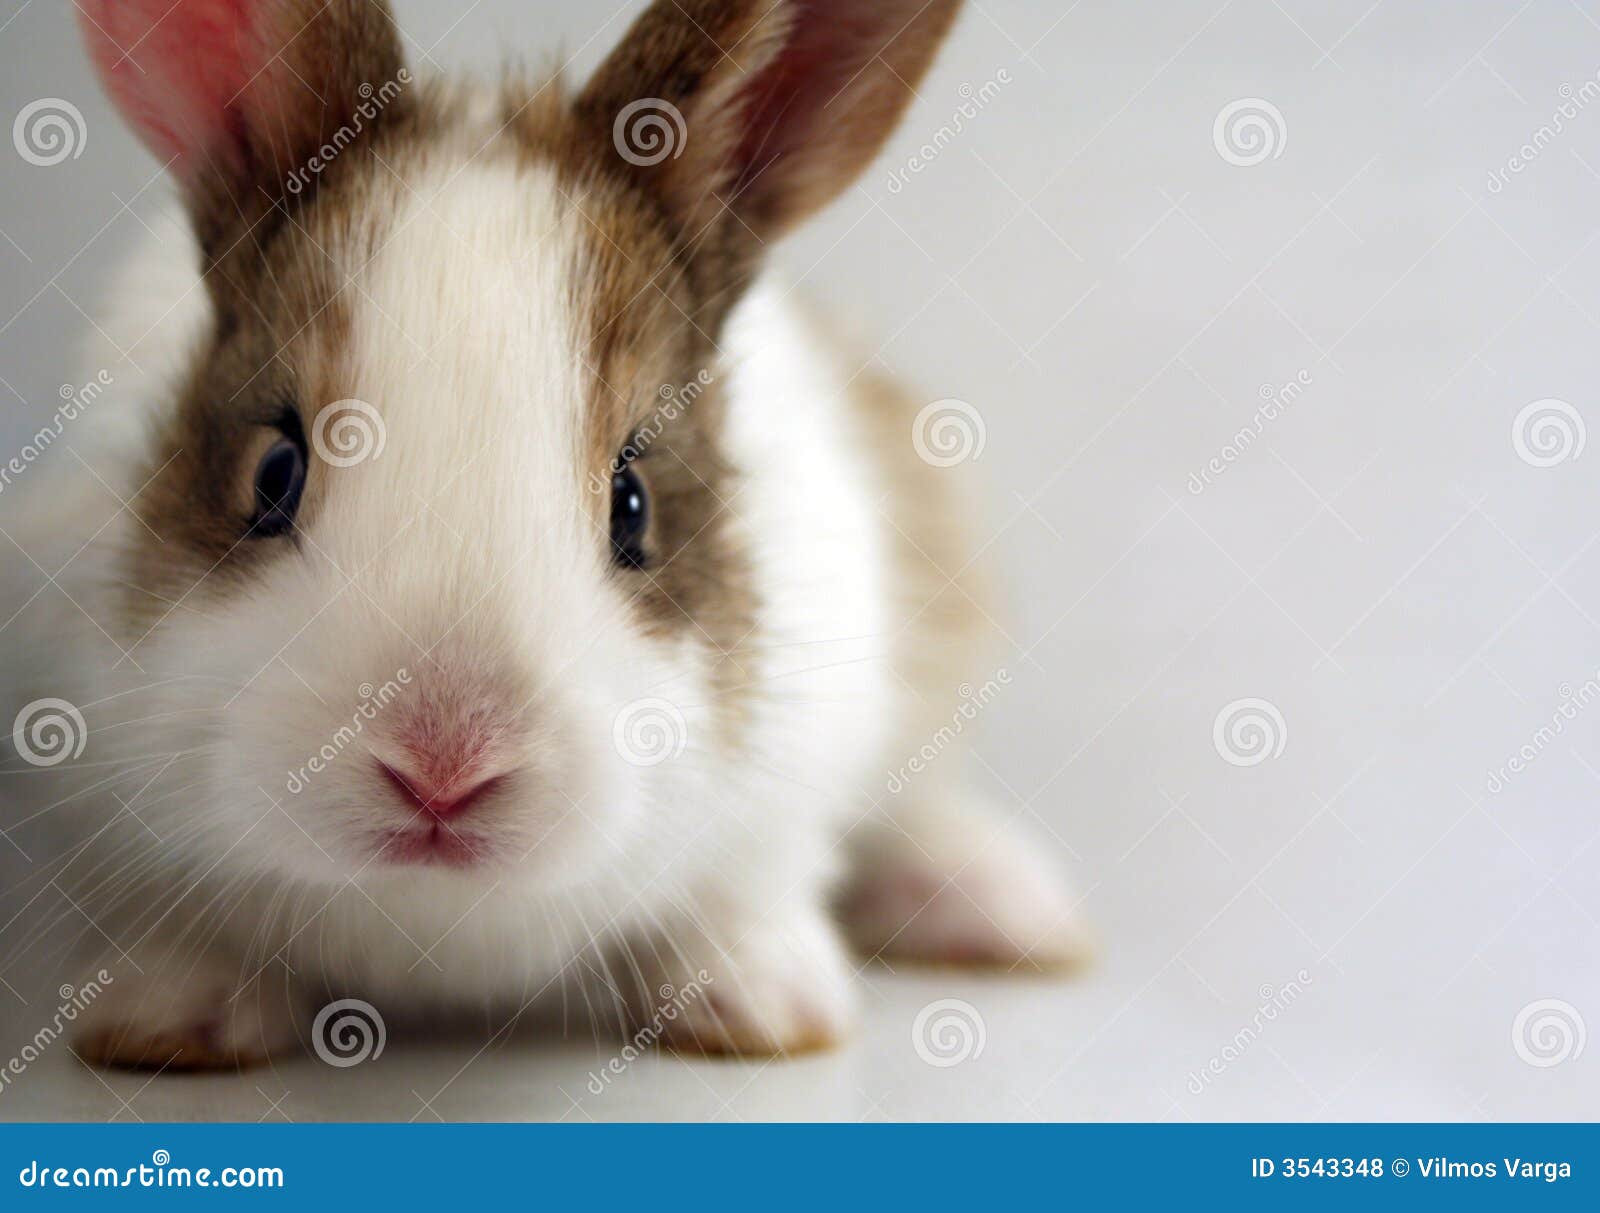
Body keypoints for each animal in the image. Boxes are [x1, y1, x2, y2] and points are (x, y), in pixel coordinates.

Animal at [0, 0, 1086, 1070]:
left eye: (633, 503)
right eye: (274, 474)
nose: (441, 771)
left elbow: (748, 886)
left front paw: (764, 1004)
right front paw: (172, 1015)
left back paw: (1002, 910)